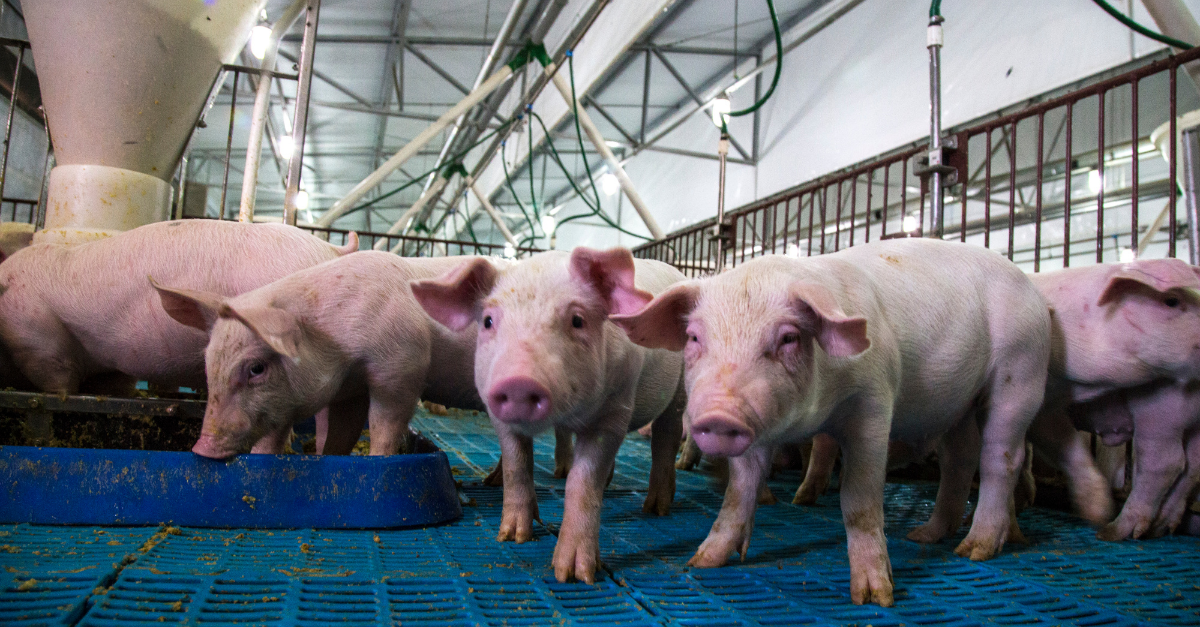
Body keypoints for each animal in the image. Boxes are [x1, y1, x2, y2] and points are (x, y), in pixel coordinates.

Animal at [151, 251, 492, 459]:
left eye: (256, 368)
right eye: (208, 364)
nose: (201, 449)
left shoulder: (403, 368)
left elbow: (384, 424)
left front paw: (377, 460)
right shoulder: (345, 391)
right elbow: (332, 431)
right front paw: (323, 456)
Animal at [410, 248, 686, 585]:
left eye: (577, 320)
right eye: (488, 321)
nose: (518, 381)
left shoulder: (615, 411)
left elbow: (582, 481)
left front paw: (573, 574)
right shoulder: (496, 409)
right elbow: (517, 465)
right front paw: (513, 537)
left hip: (681, 390)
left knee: (666, 437)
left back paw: (655, 509)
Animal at [611, 238, 1051, 607]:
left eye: (788, 338)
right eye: (693, 338)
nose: (719, 415)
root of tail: (1028, 284)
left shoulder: (874, 402)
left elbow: (858, 498)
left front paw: (874, 598)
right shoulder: (759, 430)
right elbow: (739, 491)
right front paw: (699, 561)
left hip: (1022, 370)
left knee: (1001, 457)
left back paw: (974, 550)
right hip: (956, 405)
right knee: (959, 460)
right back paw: (926, 535)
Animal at [1025, 259, 1200, 534]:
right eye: (1171, 301)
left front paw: (1098, 516)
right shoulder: (1047, 404)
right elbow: (1056, 441)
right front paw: (1097, 510)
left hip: (1161, 409)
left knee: (1164, 462)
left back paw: (1115, 531)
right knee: (1191, 465)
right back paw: (1161, 526)